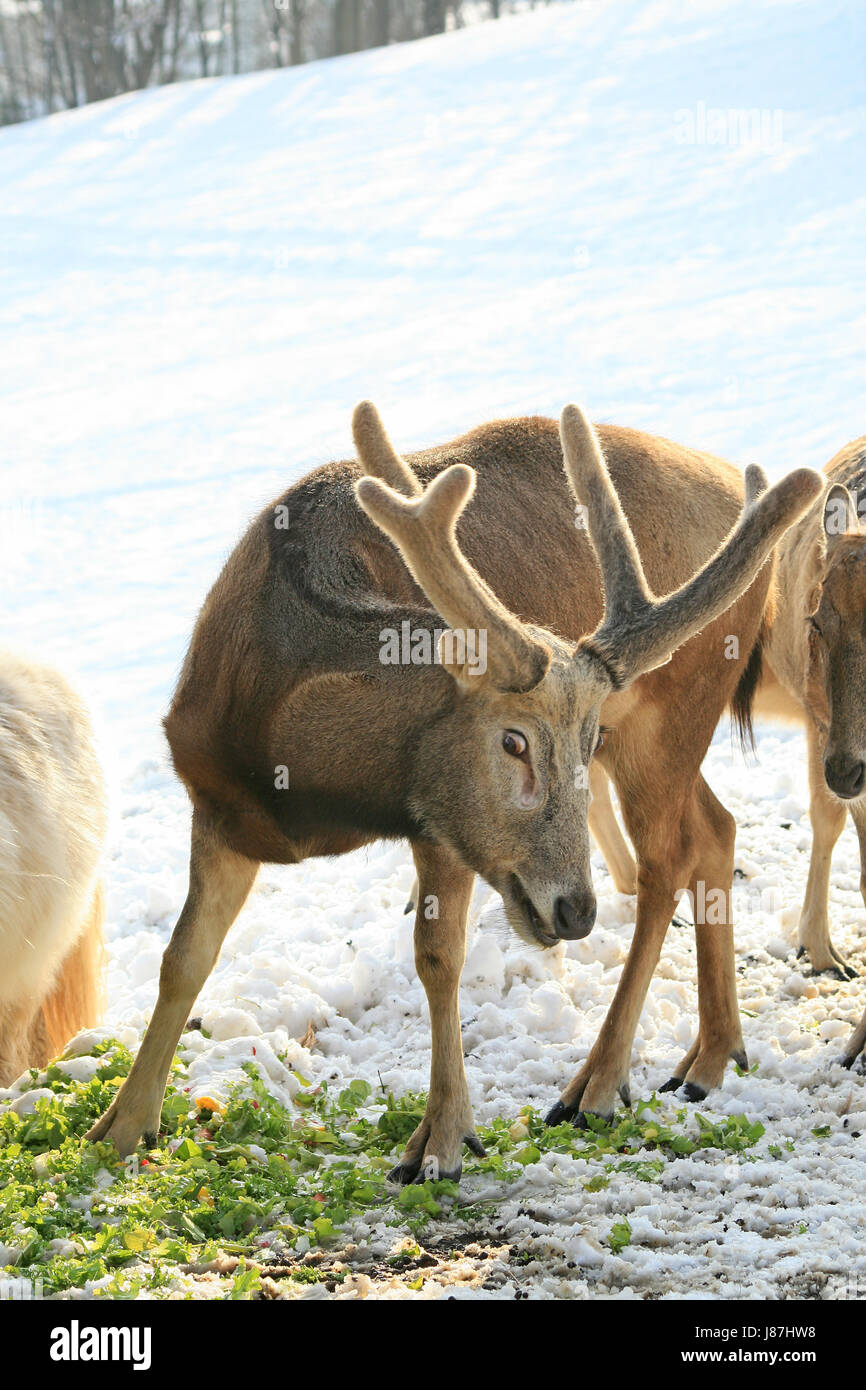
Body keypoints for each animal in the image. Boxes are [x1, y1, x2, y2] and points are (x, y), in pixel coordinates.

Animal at [85, 403, 821, 1181]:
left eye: (582, 739)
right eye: (513, 741)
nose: (576, 911)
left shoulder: (441, 825)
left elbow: (438, 960)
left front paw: (441, 1140)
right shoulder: (215, 804)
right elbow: (182, 959)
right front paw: (122, 1128)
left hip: (671, 713)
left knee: (668, 861)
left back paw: (597, 1083)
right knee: (718, 828)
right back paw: (711, 1055)